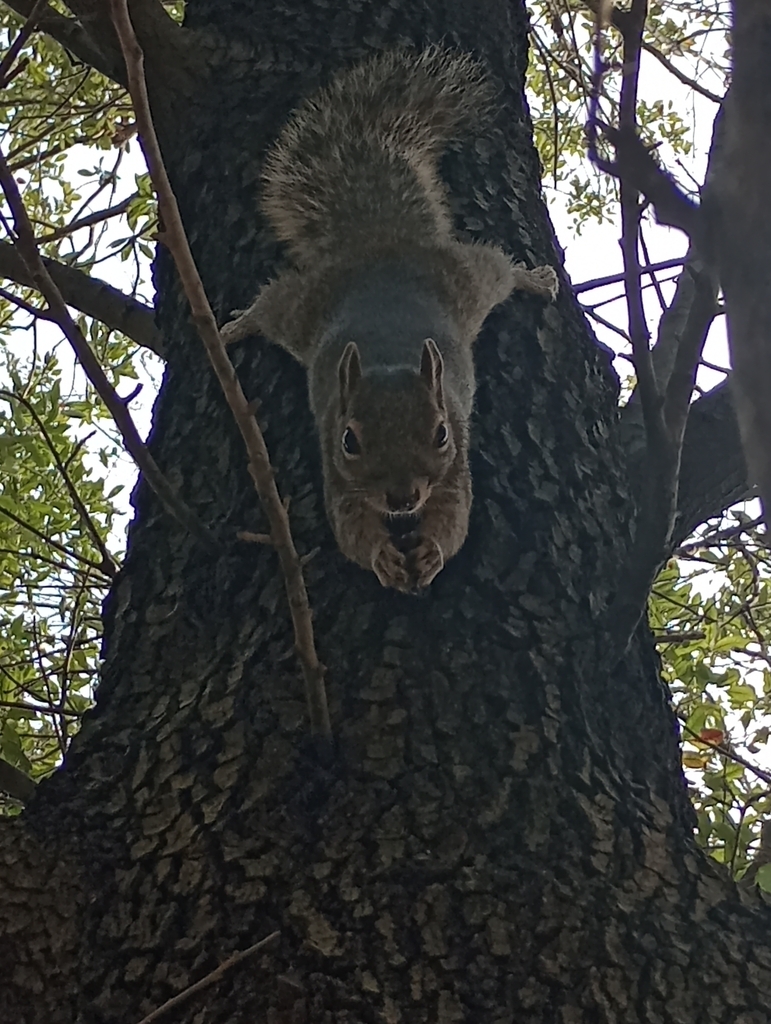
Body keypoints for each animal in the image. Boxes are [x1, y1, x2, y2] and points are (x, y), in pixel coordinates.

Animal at [222, 46, 558, 592]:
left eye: (440, 433)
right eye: (349, 440)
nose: (402, 498)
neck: (388, 357)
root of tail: (380, 242)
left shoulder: (457, 462)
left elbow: (455, 517)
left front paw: (432, 552)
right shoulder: (336, 473)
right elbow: (351, 530)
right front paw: (383, 556)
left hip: (467, 281)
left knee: (499, 268)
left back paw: (536, 279)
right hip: (306, 308)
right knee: (271, 304)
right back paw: (235, 326)